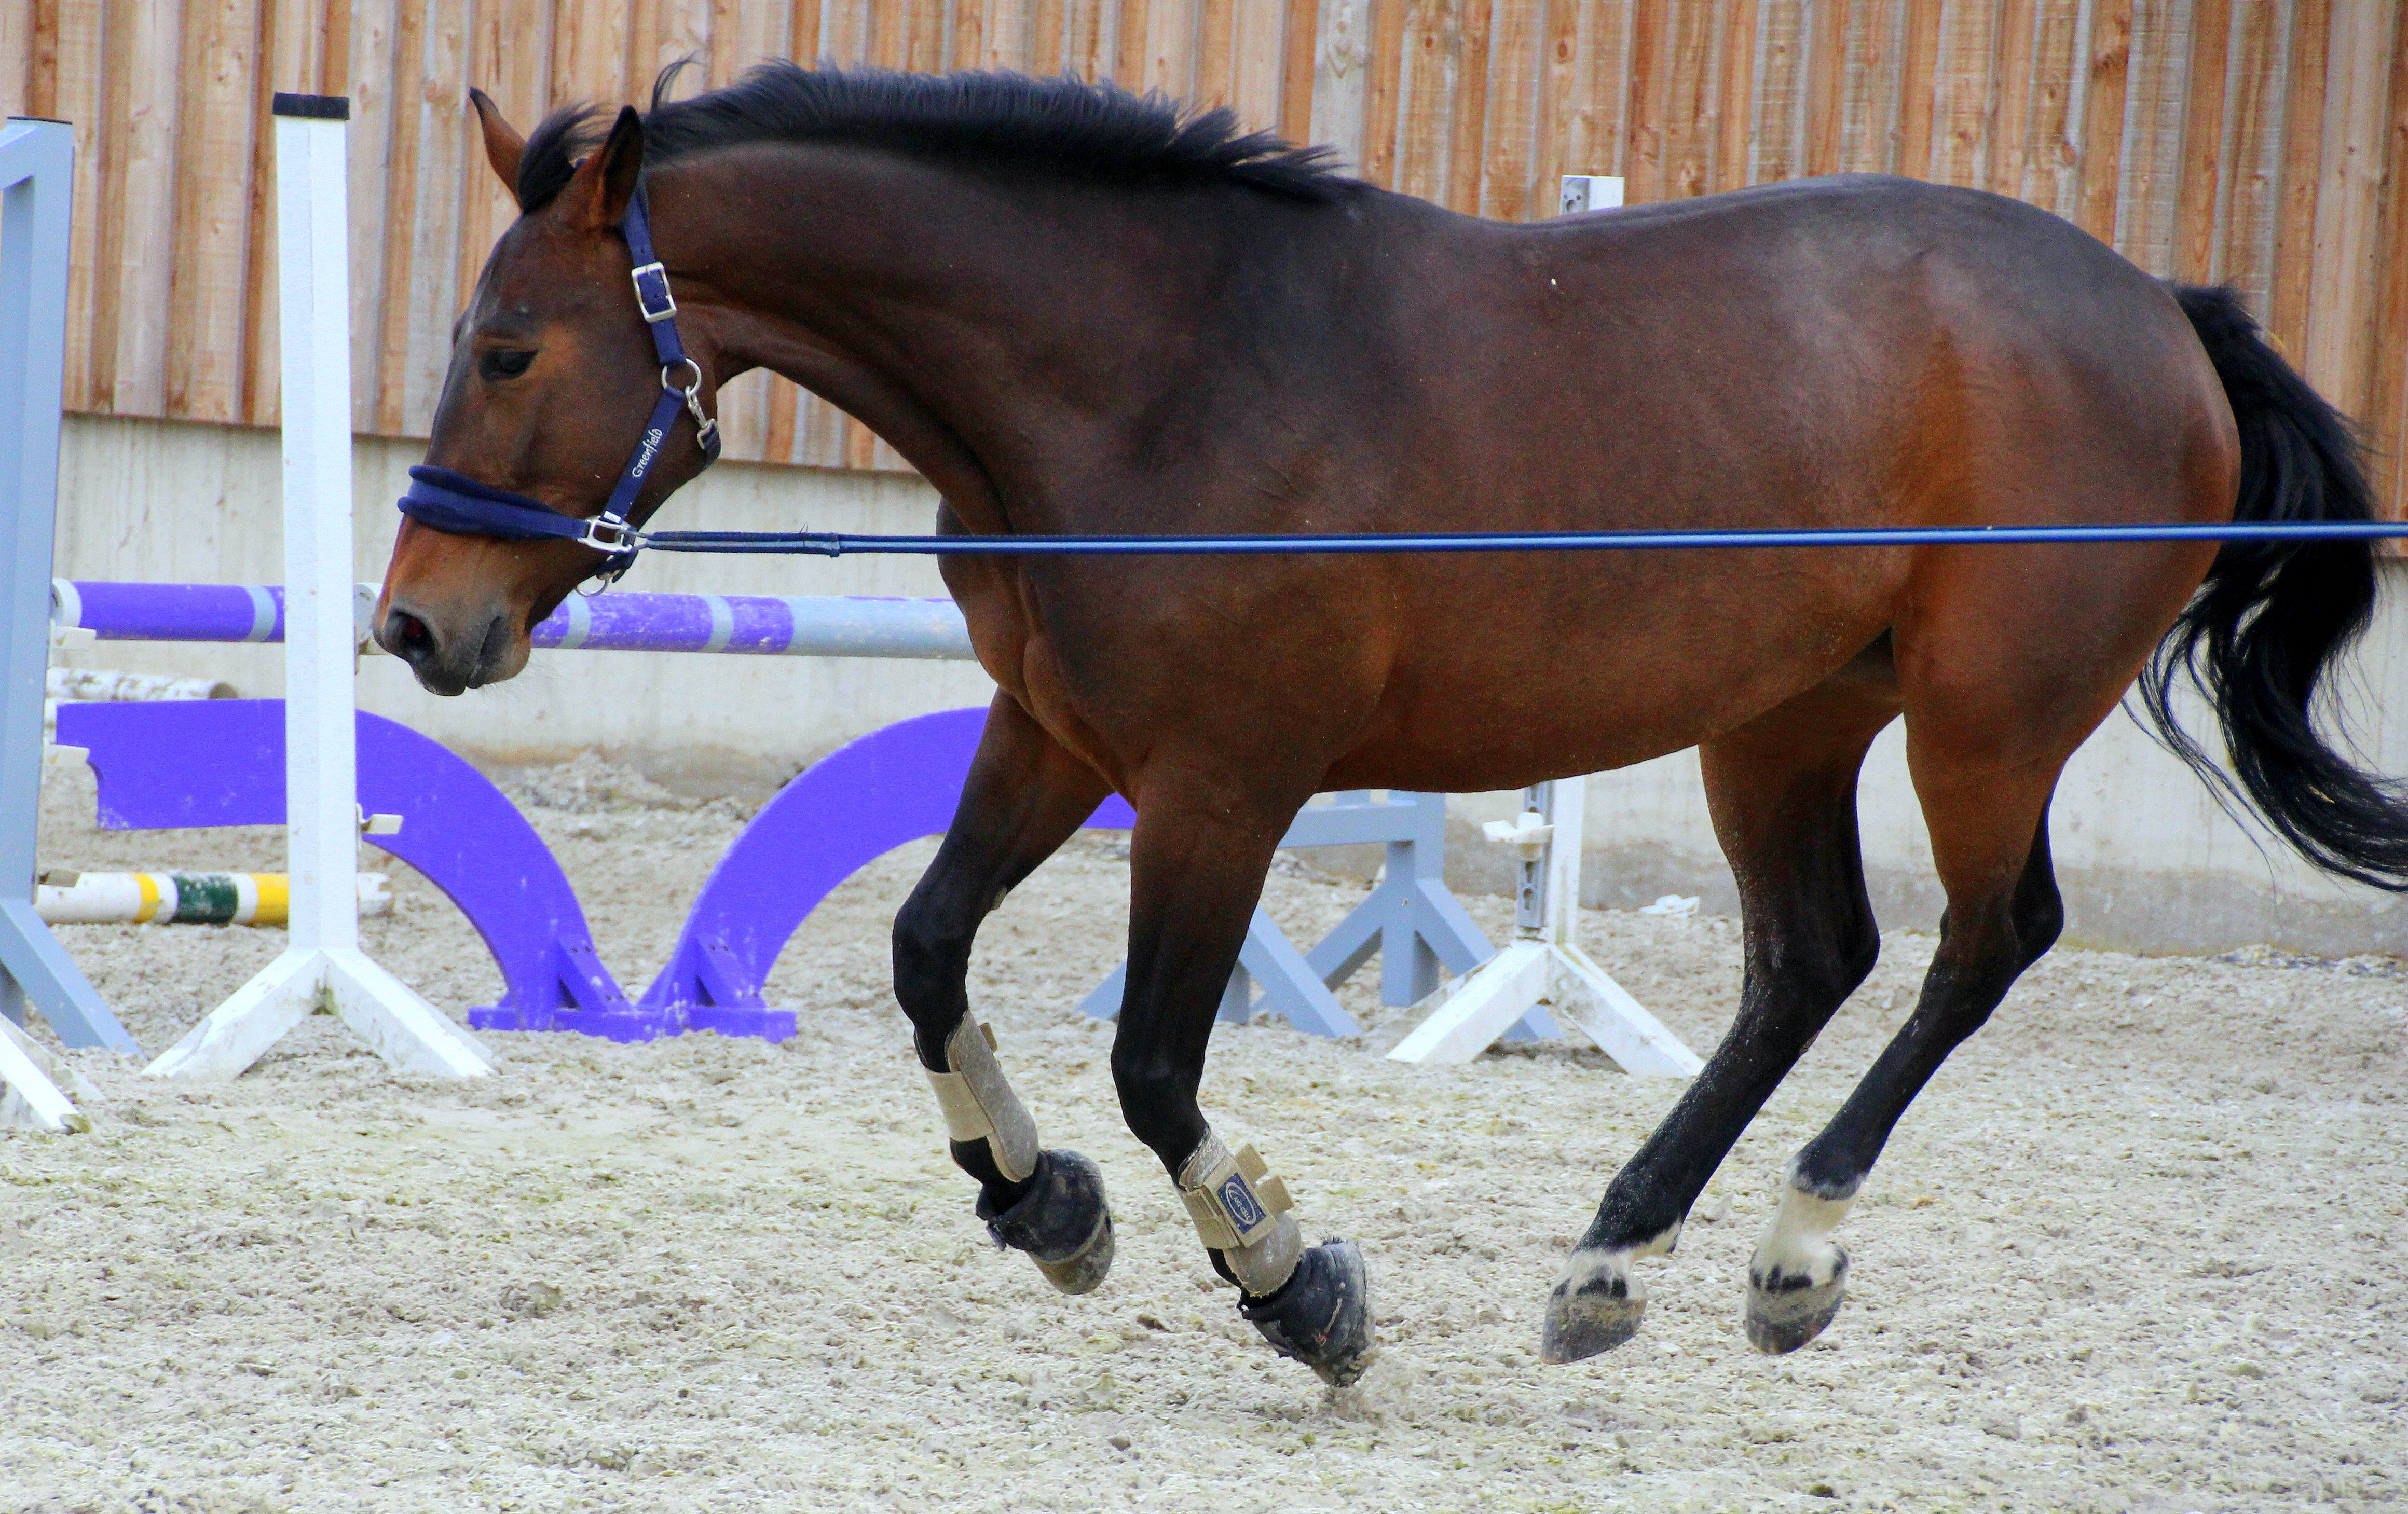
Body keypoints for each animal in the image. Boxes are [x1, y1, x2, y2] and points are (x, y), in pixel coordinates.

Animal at [375, 64, 2404, 1387]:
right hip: (1786, 719)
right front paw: (1045, 1206)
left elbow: (1158, 1063)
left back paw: (1793, 1246)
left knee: (1982, 944)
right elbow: (928, 950)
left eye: (511, 349)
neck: (1156, 376)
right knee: (1811, 957)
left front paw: (1292, 1285)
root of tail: (2164, 312)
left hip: (1979, 721)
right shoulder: (1058, 736)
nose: (415, 619)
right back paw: (1611, 1256)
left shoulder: (1220, 785)